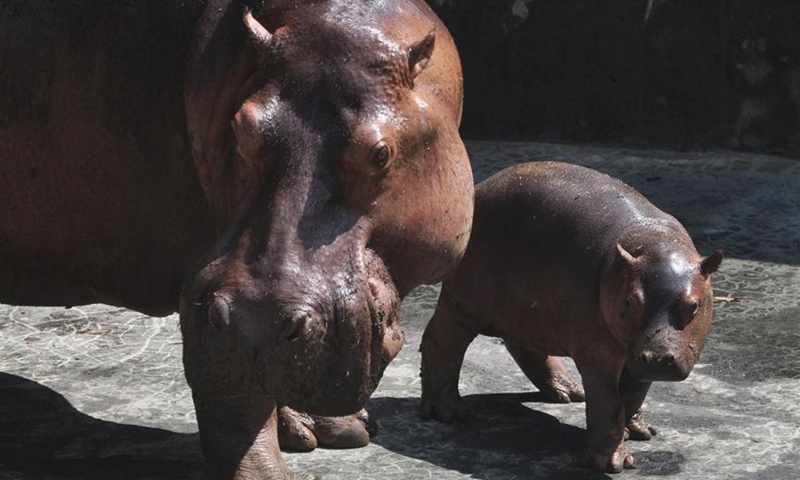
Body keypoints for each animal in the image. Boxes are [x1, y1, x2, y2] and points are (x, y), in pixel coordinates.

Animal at [0, 1, 474, 478]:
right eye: (239, 128)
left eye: (380, 154)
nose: (256, 324)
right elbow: (238, 408)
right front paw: (270, 471)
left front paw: (324, 428)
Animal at [420, 161, 722, 473]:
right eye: (630, 301)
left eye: (694, 306)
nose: (658, 359)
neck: (653, 242)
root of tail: (480, 187)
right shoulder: (597, 353)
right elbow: (607, 403)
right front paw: (613, 463)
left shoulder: (639, 354)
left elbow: (635, 391)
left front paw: (639, 432)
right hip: (463, 304)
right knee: (442, 342)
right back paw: (449, 412)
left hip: (532, 311)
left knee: (524, 347)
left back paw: (569, 393)